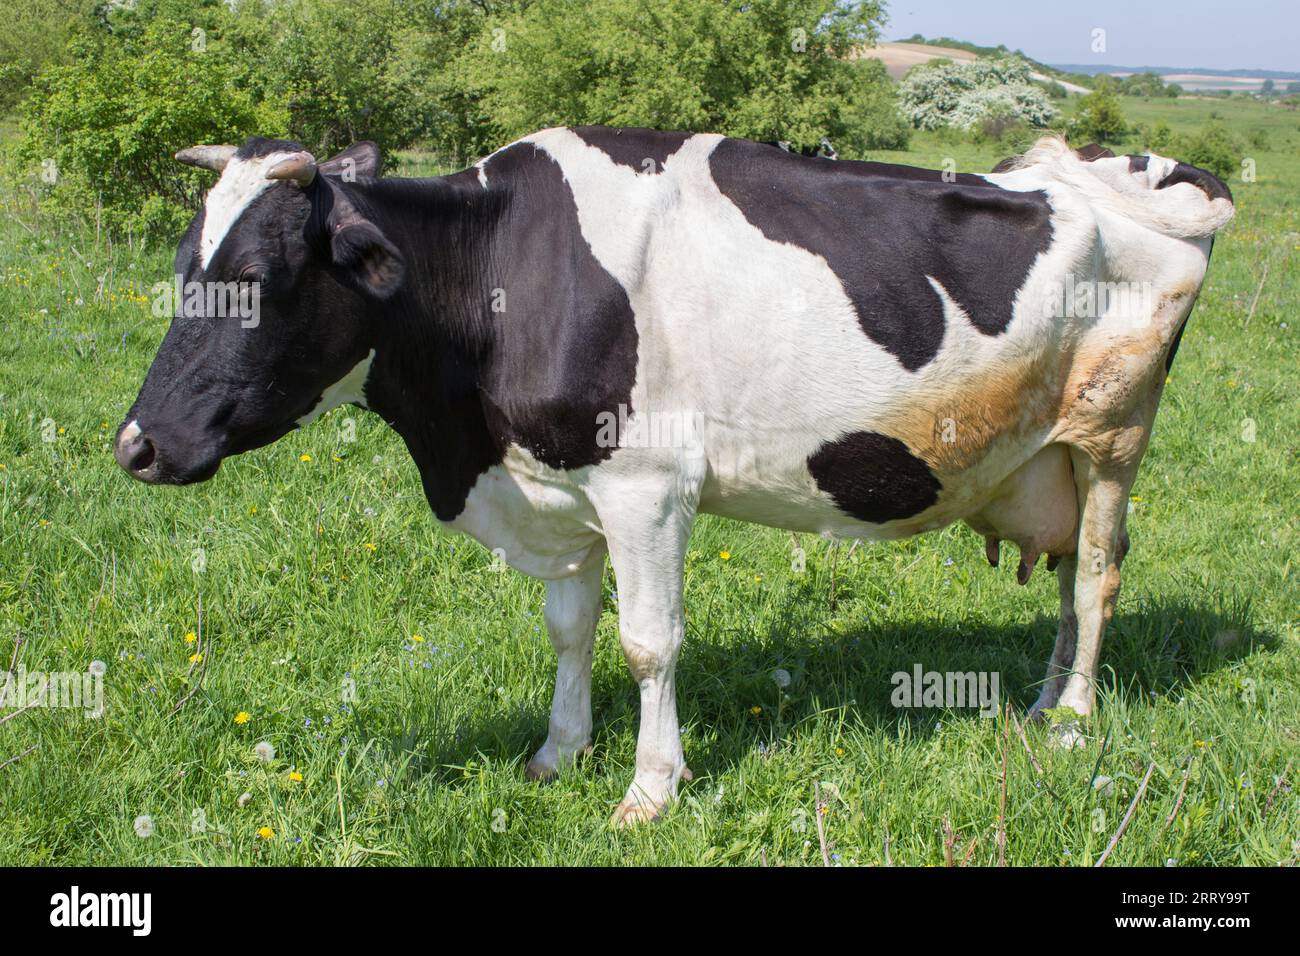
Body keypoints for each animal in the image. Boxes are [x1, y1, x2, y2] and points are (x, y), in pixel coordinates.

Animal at [115, 127, 1233, 824]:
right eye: (181, 263)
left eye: (258, 277)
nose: (136, 445)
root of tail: (1104, 166)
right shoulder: (556, 482)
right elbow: (570, 629)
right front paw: (557, 752)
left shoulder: (647, 485)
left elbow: (649, 643)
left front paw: (649, 790)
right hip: (1049, 452)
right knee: (1065, 576)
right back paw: (1041, 704)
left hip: (1113, 435)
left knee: (1096, 577)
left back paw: (1075, 720)